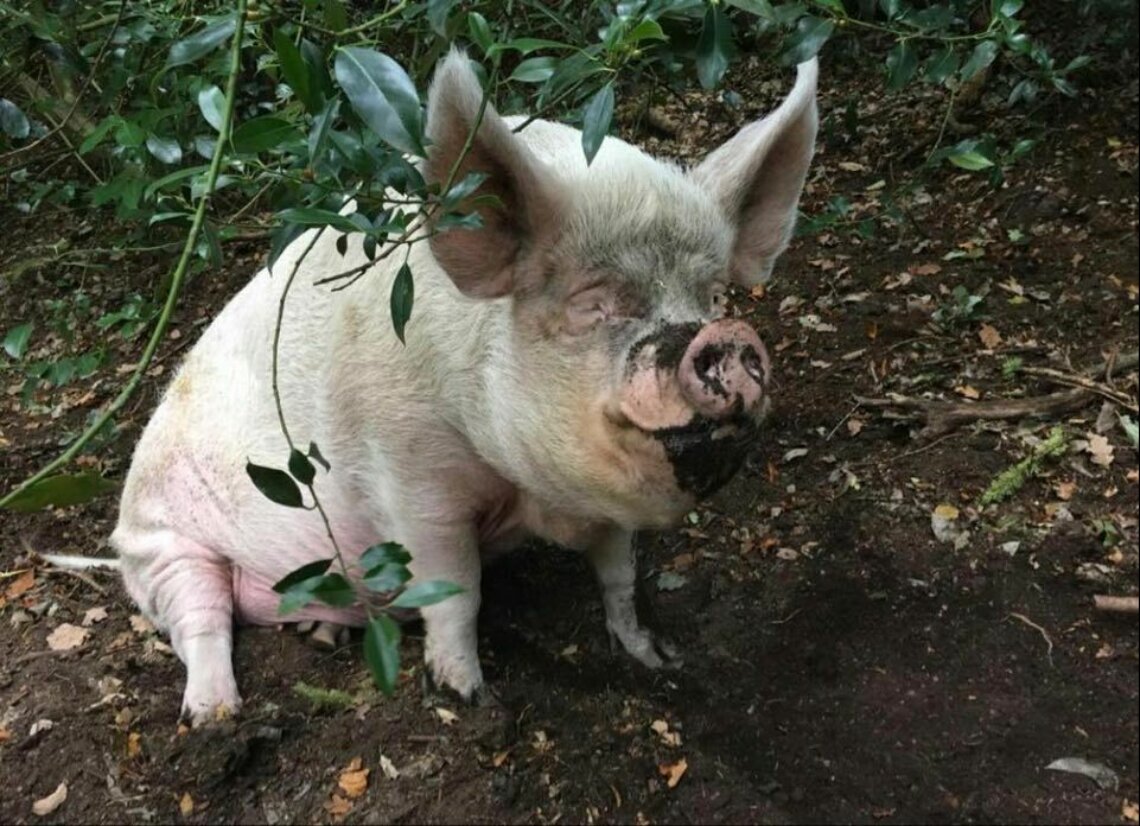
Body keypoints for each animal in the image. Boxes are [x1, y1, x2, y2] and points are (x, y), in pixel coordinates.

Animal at [110, 49, 818, 725]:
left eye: (715, 296)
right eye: (591, 303)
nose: (725, 336)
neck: (528, 490)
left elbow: (619, 571)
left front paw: (655, 657)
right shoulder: (409, 475)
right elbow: (456, 591)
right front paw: (470, 699)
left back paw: (318, 636)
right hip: (162, 548)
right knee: (202, 625)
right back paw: (215, 718)